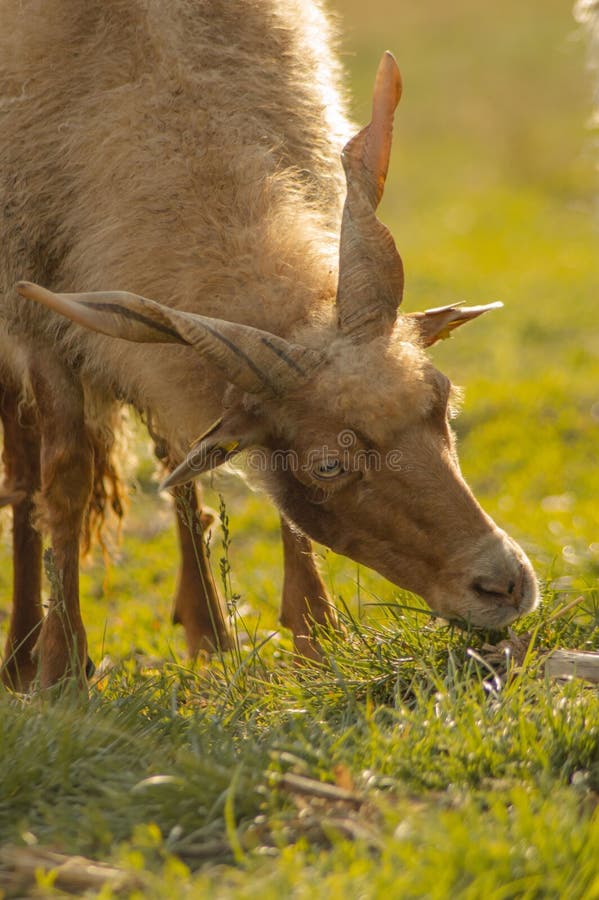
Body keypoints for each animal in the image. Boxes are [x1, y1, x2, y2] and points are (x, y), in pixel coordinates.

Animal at [1, 0, 539, 688]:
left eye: (443, 401)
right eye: (328, 465)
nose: (505, 584)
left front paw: (316, 636)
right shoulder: (32, 312)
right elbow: (64, 480)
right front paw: (62, 671)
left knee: (171, 458)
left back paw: (207, 631)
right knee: (23, 471)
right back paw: (22, 653)